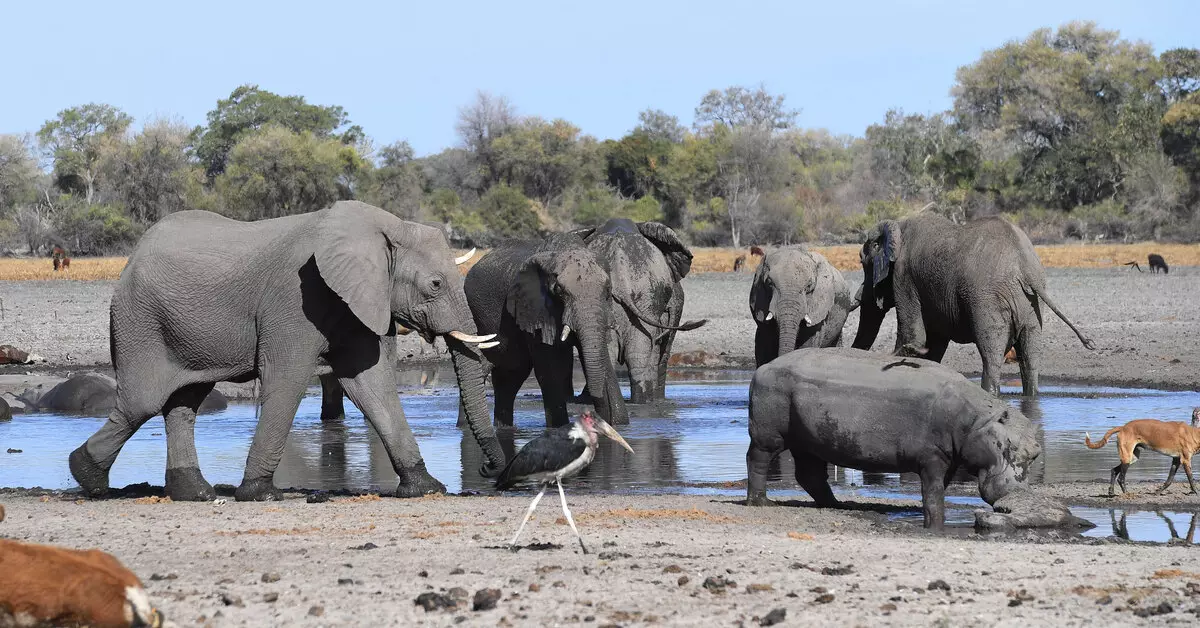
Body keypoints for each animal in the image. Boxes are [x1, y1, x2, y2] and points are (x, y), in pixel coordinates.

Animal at [68, 204, 504, 504]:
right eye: (434, 284)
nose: (489, 469)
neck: (383, 226)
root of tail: (132, 257)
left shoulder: (358, 302)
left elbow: (372, 385)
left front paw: (426, 487)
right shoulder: (294, 299)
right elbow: (288, 379)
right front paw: (260, 494)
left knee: (183, 404)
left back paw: (195, 493)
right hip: (140, 320)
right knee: (141, 403)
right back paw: (87, 478)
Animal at [458, 232, 633, 429]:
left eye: (608, 289)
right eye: (560, 291)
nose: (597, 415)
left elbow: (603, 359)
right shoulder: (534, 310)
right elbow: (549, 370)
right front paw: (559, 427)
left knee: (510, 378)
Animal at [744, 348, 1046, 530]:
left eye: (1035, 453)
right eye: (1007, 446)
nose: (1017, 494)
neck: (975, 421)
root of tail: (763, 367)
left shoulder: (948, 459)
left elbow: (938, 491)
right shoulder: (932, 458)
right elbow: (932, 493)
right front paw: (935, 527)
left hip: (809, 441)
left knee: (810, 474)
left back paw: (836, 505)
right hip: (769, 434)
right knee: (757, 460)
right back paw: (761, 502)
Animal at [849, 213, 1094, 396]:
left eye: (863, 262)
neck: (898, 226)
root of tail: (1025, 268)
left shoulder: (904, 276)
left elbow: (914, 333)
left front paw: (906, 351)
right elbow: (936, 341)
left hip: (987, 300)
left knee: (991, 355)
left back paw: (989, 392)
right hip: (1031, 306)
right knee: (1030, 358)